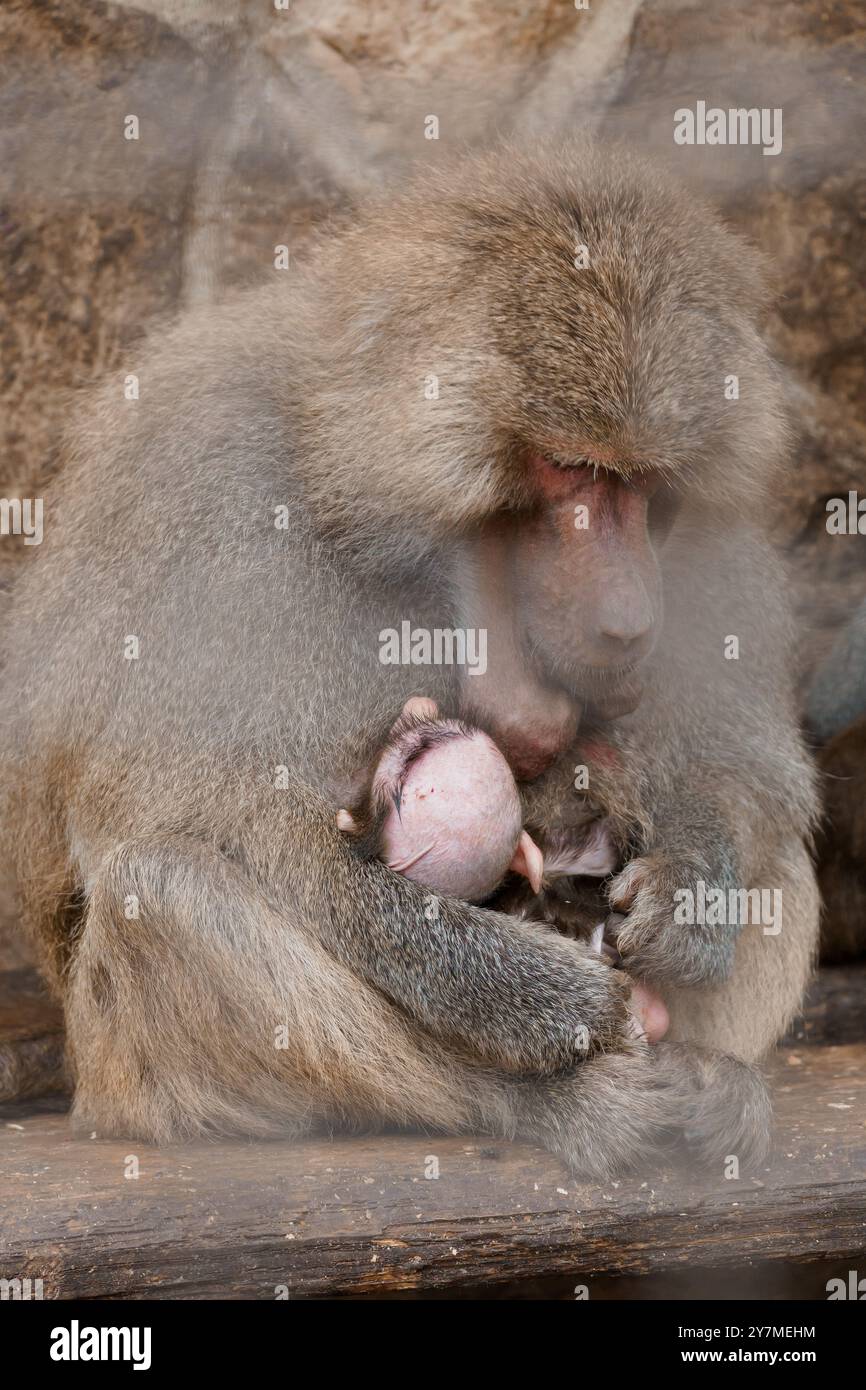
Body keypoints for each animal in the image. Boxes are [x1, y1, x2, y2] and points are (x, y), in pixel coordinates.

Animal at [0, 142, 819, 1176]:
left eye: (642, 479)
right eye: (571, 467)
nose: (629, 617)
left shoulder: (709, 539)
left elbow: (738, 766)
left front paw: (689, 899)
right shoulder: (211, 489)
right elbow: (179, 807)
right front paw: (525, 992)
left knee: (777, 851)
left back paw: (708, 1082)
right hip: (119, 1071)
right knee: (167, 891)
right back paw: (555, 1106)